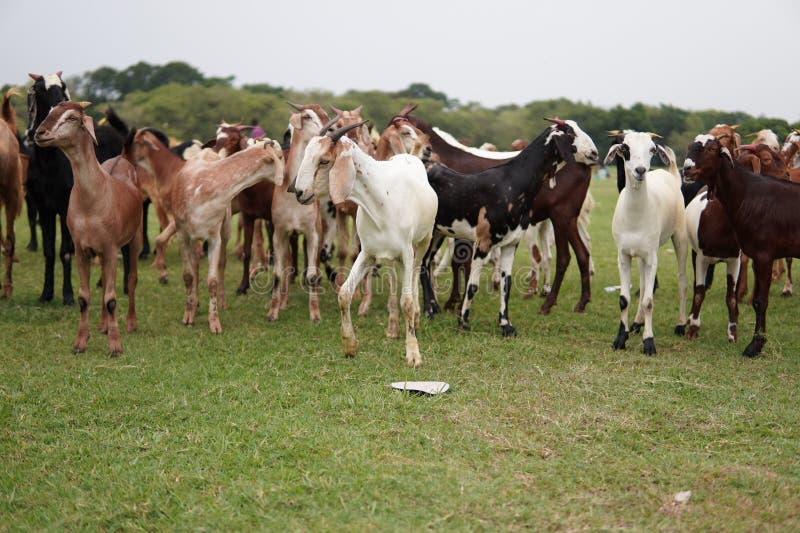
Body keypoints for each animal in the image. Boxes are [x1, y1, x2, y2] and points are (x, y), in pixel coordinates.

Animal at [34, 102, 142, 356]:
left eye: (72, 118)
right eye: (49, 111)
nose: (39, 133)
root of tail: (122, 157)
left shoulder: (111, 248)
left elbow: (111, 298)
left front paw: (115, 346)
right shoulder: (82, 249)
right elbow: (85, 297)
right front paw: (80, 343)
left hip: (135, 237)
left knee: (131, 279)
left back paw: (131, 323)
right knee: (103, 285)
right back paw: (103, 325)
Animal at [293, 121, 438, 368]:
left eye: (324, 160)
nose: (299, 192)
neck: (382, 200)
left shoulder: (407, 251)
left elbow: (407, 301)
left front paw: (413, 354)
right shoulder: (368, 253)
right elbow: (344, 294)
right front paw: (350, 345)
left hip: (423, 241)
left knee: (415, 273)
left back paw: (417, 319)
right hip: (391, 256)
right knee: (393, 279)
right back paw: (392, 326)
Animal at [420, 118, 598, 335]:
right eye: (570, 133)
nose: (594, 153)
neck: (511, 183)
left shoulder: (510, 244)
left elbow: (507, 284)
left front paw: (505, 325)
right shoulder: (483, 243)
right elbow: (472, 285)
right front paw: (463, 322)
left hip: (438, 233)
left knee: (426, 263)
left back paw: (433, 308)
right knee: (421, 265)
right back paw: (428, 311)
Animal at [605, 131, 688, 355]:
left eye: (652, 149)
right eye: (625, 148)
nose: (640, 170)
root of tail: (671, 174)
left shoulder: (652, 258)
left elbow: (649, 301)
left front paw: (649, 343)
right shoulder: (623, 256)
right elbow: (624, 299)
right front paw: (620, 338)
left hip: (680, 236)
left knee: (682, 281)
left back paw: (681, 325)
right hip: (641, 255)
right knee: (642, 286)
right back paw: (636, 323)